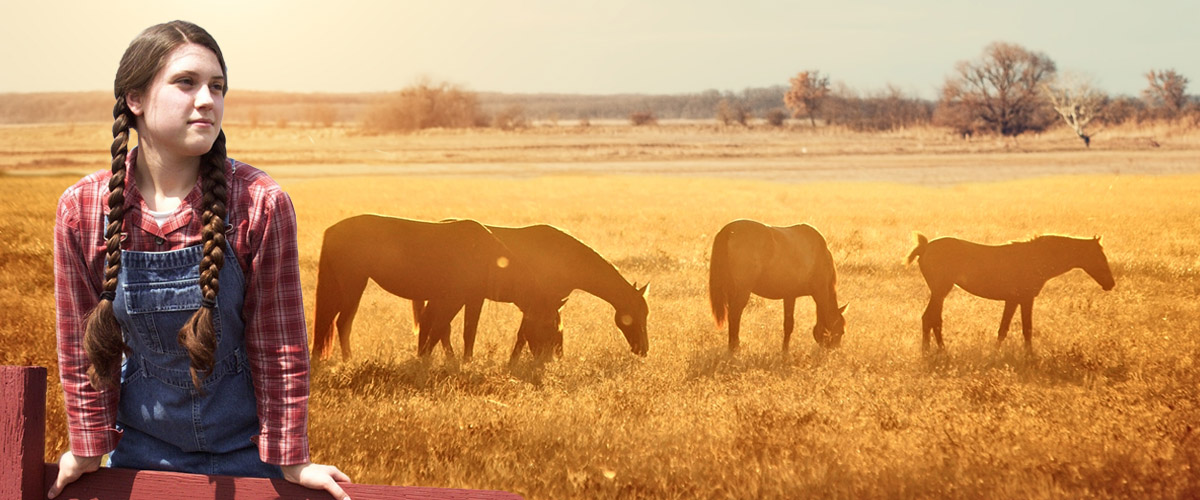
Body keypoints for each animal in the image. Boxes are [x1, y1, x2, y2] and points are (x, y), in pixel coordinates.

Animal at [311, 214, 562, 361]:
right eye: (550, 326)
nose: (547, 360)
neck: (488, 255)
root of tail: (331, 230)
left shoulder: (471, 298)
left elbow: (459, 330)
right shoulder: (454, 298)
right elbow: (444, 328)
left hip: (345, 285)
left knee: (331, 321)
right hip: (352, 284)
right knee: (340, 322)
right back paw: (347, 360)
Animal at [413, 223, 649, 364]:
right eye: (634, 316)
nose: (643, 350)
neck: (567, 259)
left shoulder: (550, 302)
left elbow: (551, 329)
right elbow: (526, 333)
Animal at [709, 219, 847, 352]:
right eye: (841, 331)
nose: (834, 351)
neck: (820, 255)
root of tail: (728, 230)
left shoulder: (790, 295)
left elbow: (787, 324)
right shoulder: (819, 293)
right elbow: (790, 325)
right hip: (743, 291)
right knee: (734, 315)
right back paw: (735, 347)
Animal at [906, 233, 1115, 353]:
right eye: (1099, 256)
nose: (1111, 284)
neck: (1037, 257)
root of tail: (925, 246)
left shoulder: (1013, 300)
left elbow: (1003, 329)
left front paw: (996, 353)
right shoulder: (1026, 299)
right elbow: (1026, 329)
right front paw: (1028, 356)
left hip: (940, 292)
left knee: (933, 320)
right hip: (940, 291)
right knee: (930, 319)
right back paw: (934, 351)